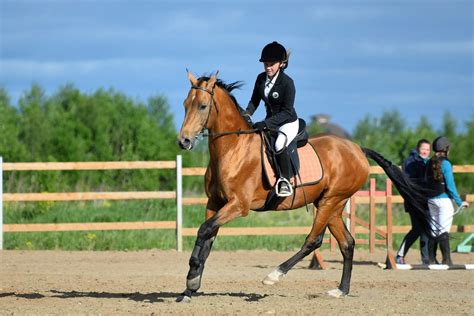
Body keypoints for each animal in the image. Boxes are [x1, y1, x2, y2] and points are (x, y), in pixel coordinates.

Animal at [176, 70, 432, 302]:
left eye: (203, 106)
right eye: (185, 104)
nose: (184, 141)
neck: (233, 149)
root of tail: (358, 149)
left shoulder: (238, 205)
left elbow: (204, 230)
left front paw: (191, 280)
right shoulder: (215, 202)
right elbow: (207, 237)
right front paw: (190, 288)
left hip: (331, 201)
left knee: (313, 240)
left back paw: (274, 275)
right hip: (333, 205)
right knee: (347, 243)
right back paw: (340, 290)